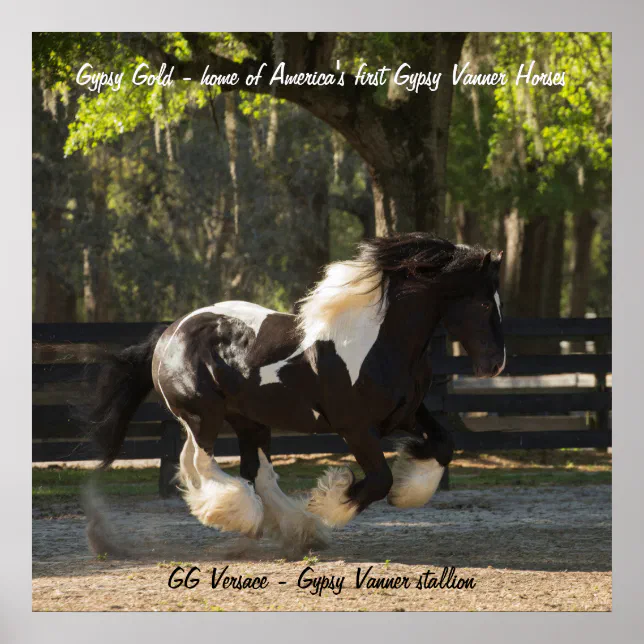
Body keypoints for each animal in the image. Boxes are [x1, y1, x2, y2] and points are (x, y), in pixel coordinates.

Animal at [89, 233, 505, 553]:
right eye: (485, 302)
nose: (496, 365)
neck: (380, 342)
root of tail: (169, 333)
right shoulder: (356, 428)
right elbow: (379, 479)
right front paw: (330, 502)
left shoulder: (406, 414)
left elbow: (444, 445)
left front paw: (406, 492)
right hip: (202, 415)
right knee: (199, 463)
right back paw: (244, 516)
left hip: (249, 421)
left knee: (253, 473)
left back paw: (296, 530)